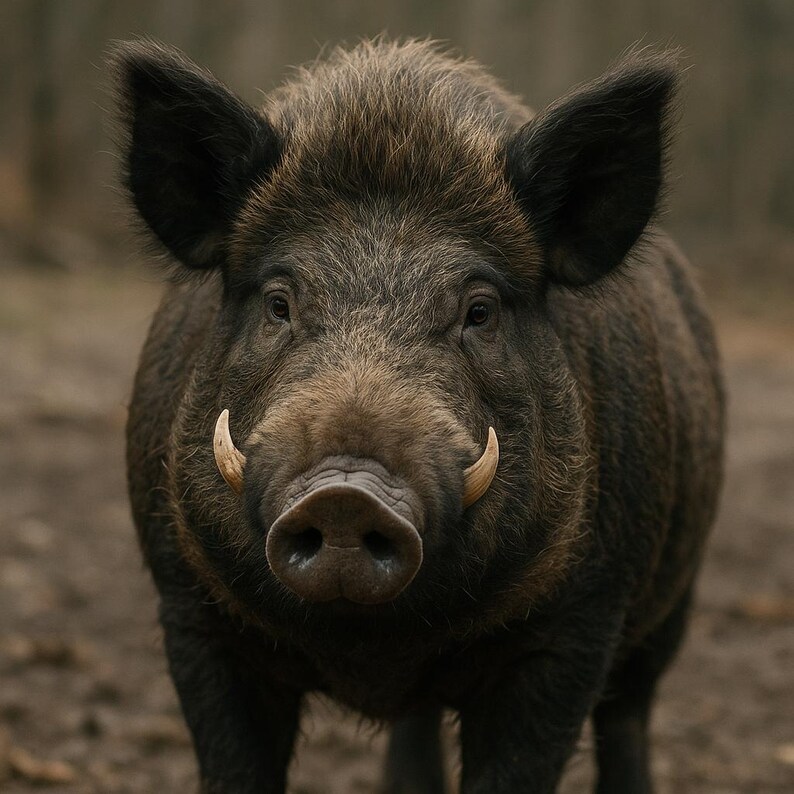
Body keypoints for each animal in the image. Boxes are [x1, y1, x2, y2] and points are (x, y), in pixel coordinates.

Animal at [116, 38, 724, 794]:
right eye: (279, 302)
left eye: (479, 311)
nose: (346, 492)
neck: (377, 647)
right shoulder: (193, 611)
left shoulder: (577, 624)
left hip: (674, 593)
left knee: (629, 712)